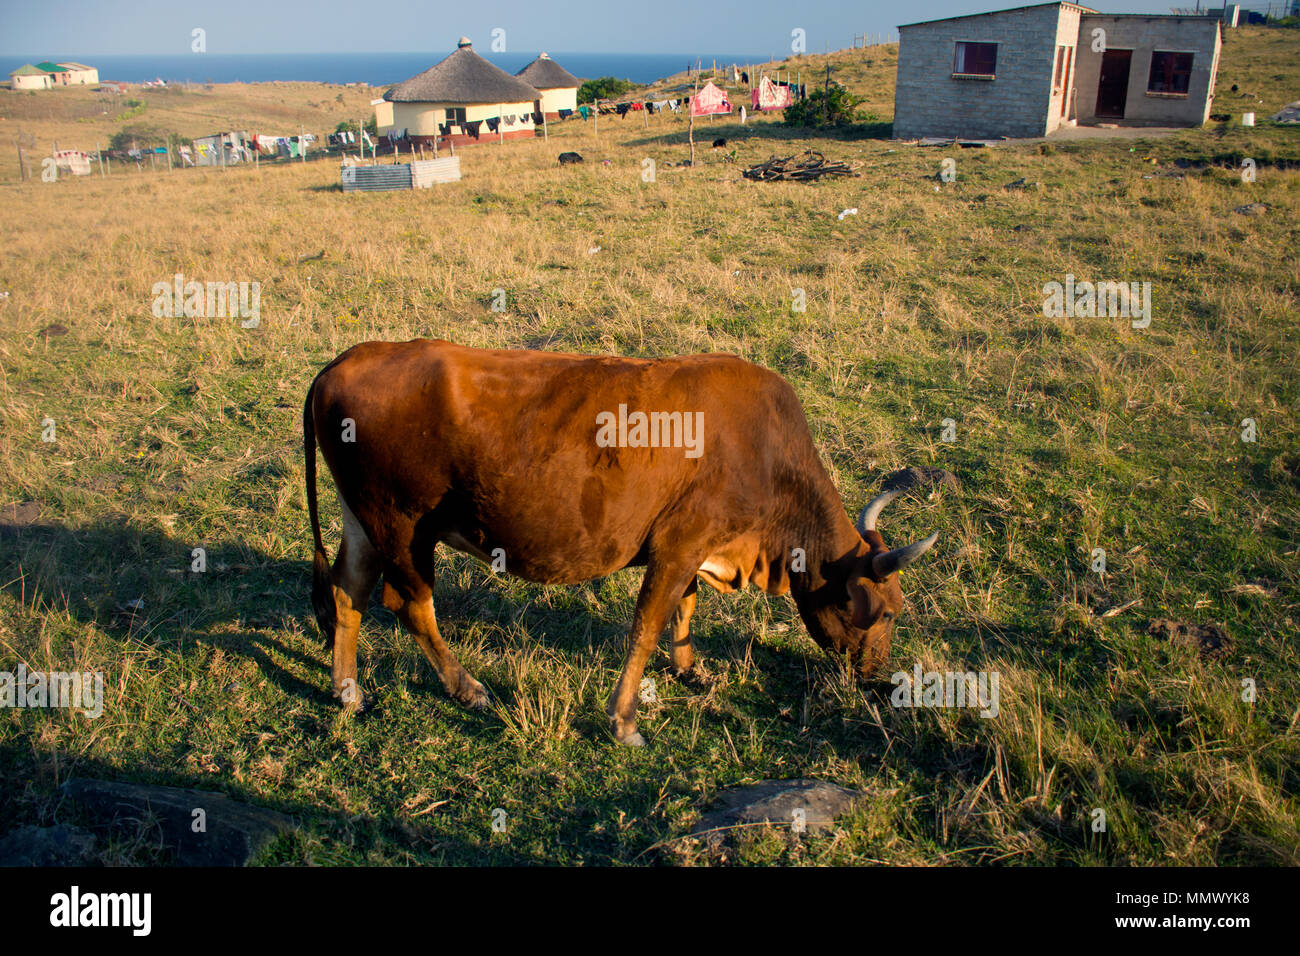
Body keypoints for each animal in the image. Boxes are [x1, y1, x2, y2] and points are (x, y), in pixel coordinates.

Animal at [303, 340, 937, 745]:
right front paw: (625, 719)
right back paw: (467, 688)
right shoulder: (679, 545)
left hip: (362, 518)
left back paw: (347, 690)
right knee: (409, 605)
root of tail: (347, 359)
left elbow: (685, 608)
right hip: (401, 524)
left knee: (347, 591)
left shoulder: (692, 549)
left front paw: (688, 671)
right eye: (883, 612)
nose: (879, 676)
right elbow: (648, 624)